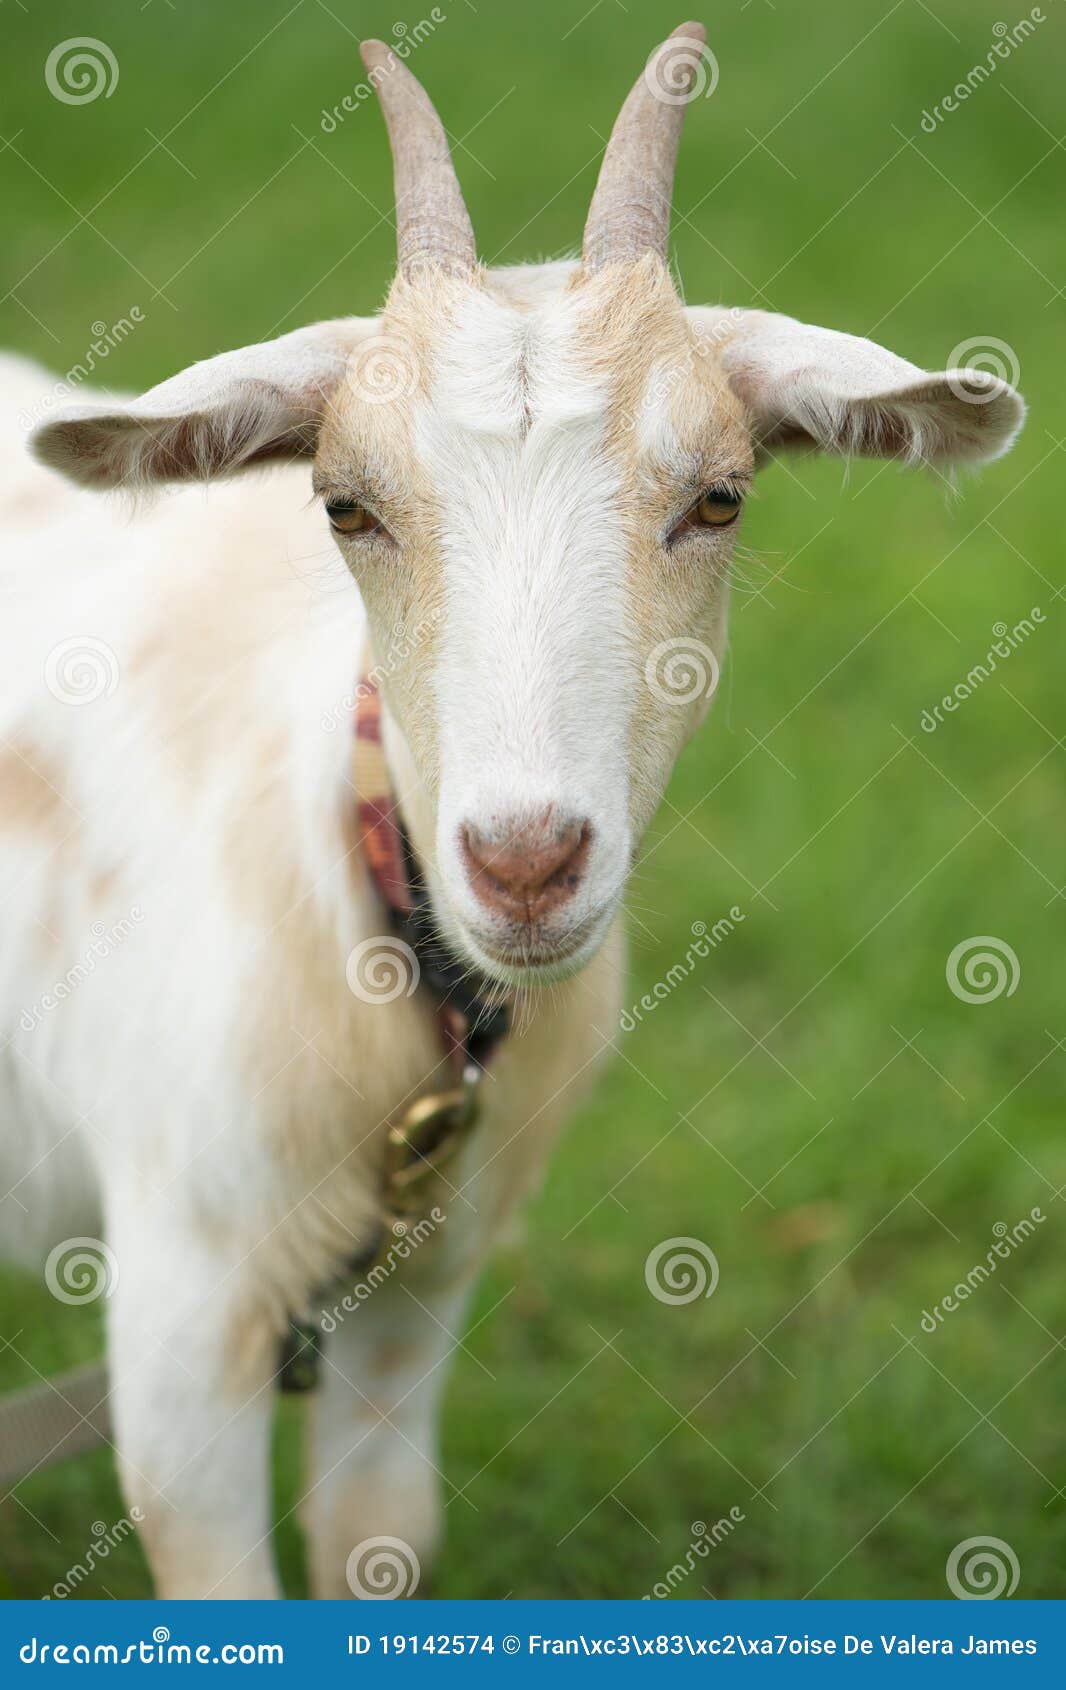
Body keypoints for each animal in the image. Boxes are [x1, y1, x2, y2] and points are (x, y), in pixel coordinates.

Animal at [0, 23, 1023, 1599]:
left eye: (720, 497)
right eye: (344, 505)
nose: (525, 861)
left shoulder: (418, 1280)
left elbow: (375, 1543)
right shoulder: (183, 1300)